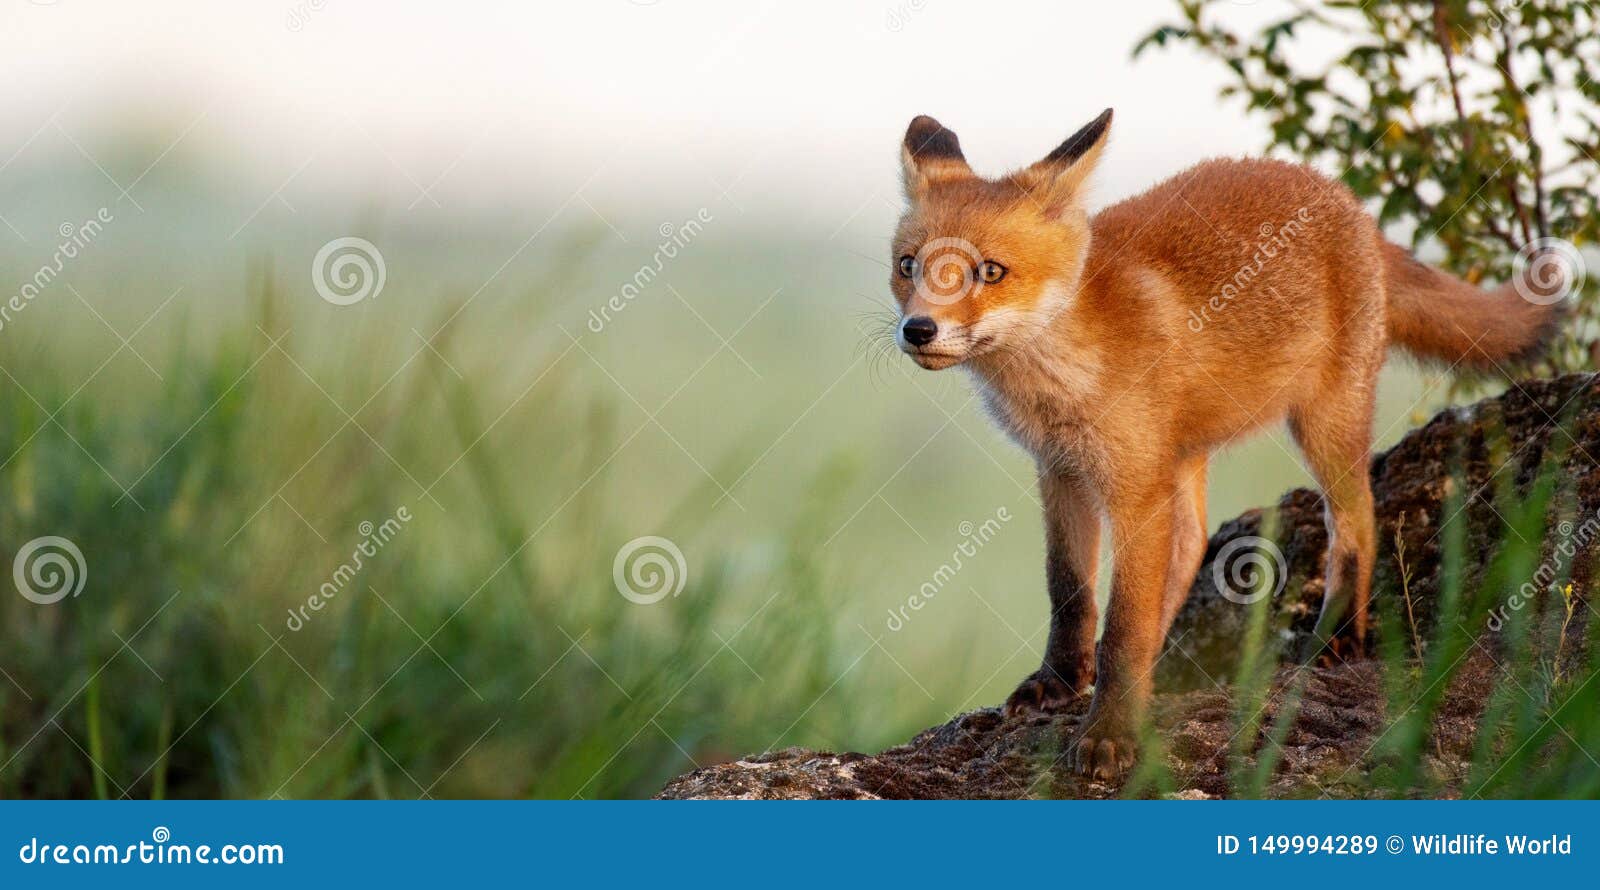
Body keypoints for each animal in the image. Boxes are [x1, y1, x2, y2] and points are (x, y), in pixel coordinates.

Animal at [888, 108, 1564, 779]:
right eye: (908, 266)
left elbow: (1125, 628)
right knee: (1191, 549)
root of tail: (1350, 204)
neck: (1058, 379)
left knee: (1357, 519)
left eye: (990, 272)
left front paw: (1110, 732)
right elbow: (1070, 593)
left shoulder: (1135, 489)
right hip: (1188, 455)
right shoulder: (1061, 474)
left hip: (1323, 423)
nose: (918, 329)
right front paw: (1059, 682)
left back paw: (1339, 633)